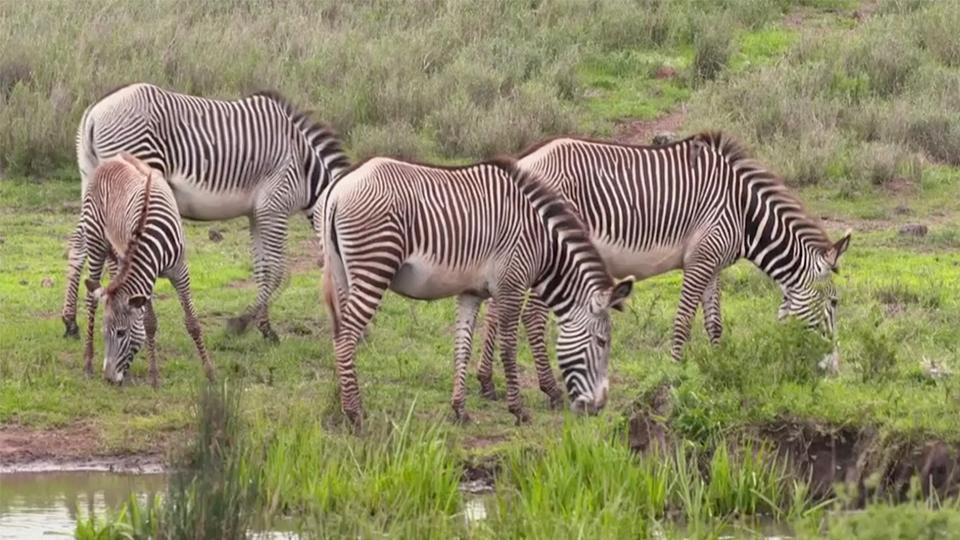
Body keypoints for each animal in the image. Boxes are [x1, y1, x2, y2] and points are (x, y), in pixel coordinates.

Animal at [62, 83, 350, 342]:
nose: (359, 339)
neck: (305, 167)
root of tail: (96, 112)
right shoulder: (274, 206)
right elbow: (278, 270)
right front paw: (241, 323)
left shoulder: (257, 214)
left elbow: (263, 269)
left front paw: (264, 327)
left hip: (91, 179)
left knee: (79, 244)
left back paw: (70, 322)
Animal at [79, 153, 215, 386]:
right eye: (105, 333)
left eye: (121, 333)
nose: (109, 379)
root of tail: (113, 159)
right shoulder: (145, 277)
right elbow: (149, 323)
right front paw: (153, 376)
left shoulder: (180, 271)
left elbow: (192, 322)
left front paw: (209, 371)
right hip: (95, 242)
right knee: (91, 301)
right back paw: (87, 362)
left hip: (116, 252)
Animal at [322, 156, 634, 429]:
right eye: (602, 342)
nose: (598, 408)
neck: (542, 243)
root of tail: (341, 185)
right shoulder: (512, 285)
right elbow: (508, 349)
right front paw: (518, 410)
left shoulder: (471, 293)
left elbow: (463, 346)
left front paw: (460, 410)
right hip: (374, 266)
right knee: (346, 337)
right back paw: (355, 413)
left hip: (343, 274)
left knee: (339, 335)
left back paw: (345, 402)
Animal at [477, 132, 852, 404]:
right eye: (834, 303)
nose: (834, 371)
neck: (745, 213)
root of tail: (526, 159)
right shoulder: (700, 260)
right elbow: (684, 320)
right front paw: (674, 374)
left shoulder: (714, 265)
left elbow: (714, 323)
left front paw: (719, 367)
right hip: (550, 255)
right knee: (531, 317)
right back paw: (550, 390)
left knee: (497, 309)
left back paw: (486, 383)